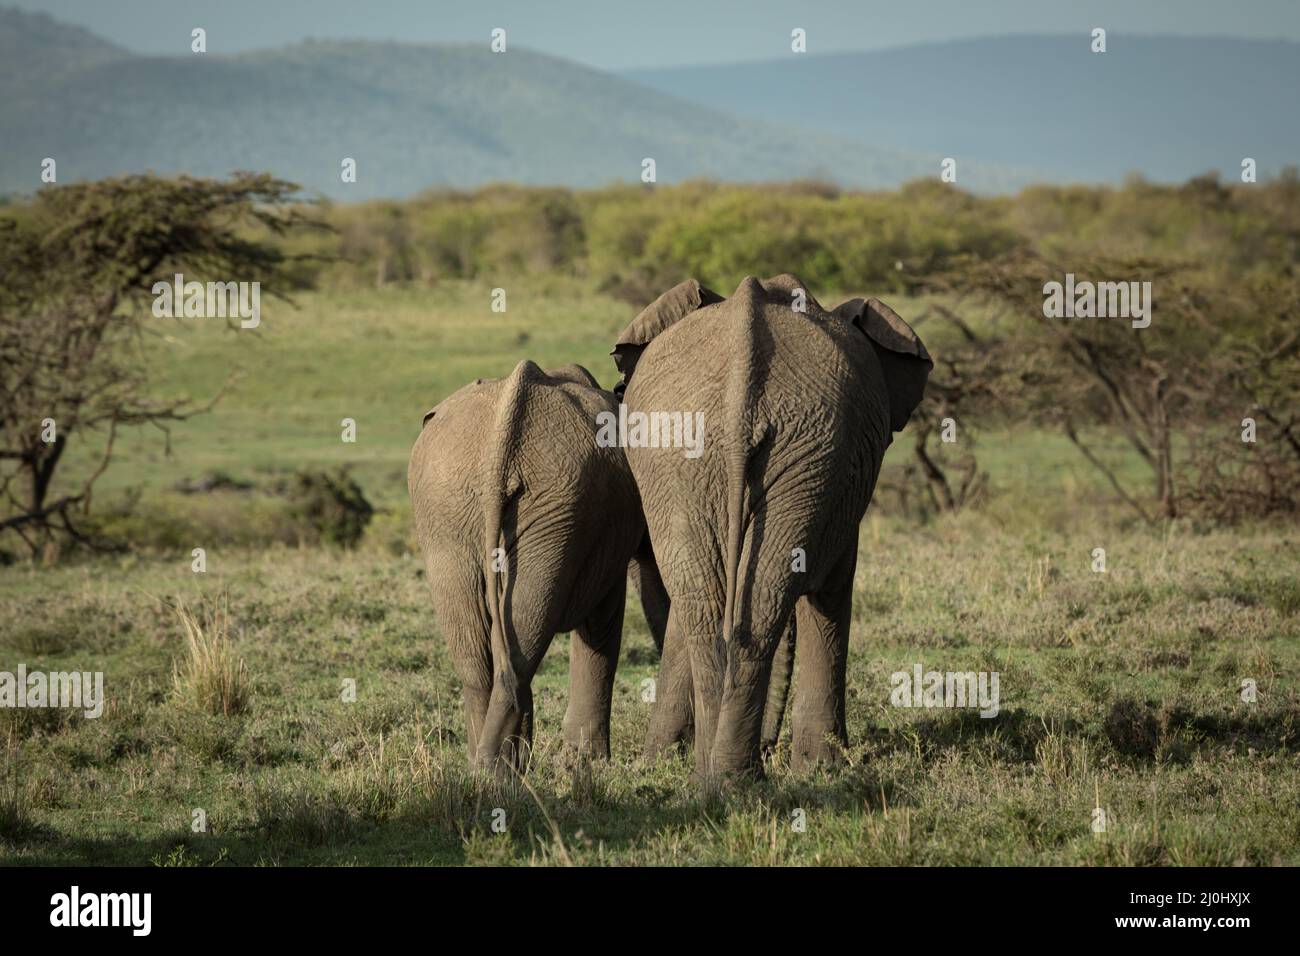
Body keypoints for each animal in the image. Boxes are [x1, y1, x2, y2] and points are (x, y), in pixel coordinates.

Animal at [408, 360, 659, 771]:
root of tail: (500, 439)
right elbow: (602, 620)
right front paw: (589, 763)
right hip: (519, 503)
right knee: (518, 638)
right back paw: (496, 770)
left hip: (475, 507)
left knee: (482, 654)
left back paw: (486, 768)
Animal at [611, 274, 932, 781]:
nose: (769, 746)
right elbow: (832, 591)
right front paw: (824, 769)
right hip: (792, 452)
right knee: (747, 603)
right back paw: (733, 778)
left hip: (752, 453)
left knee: (713, 608)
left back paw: (721, 779)